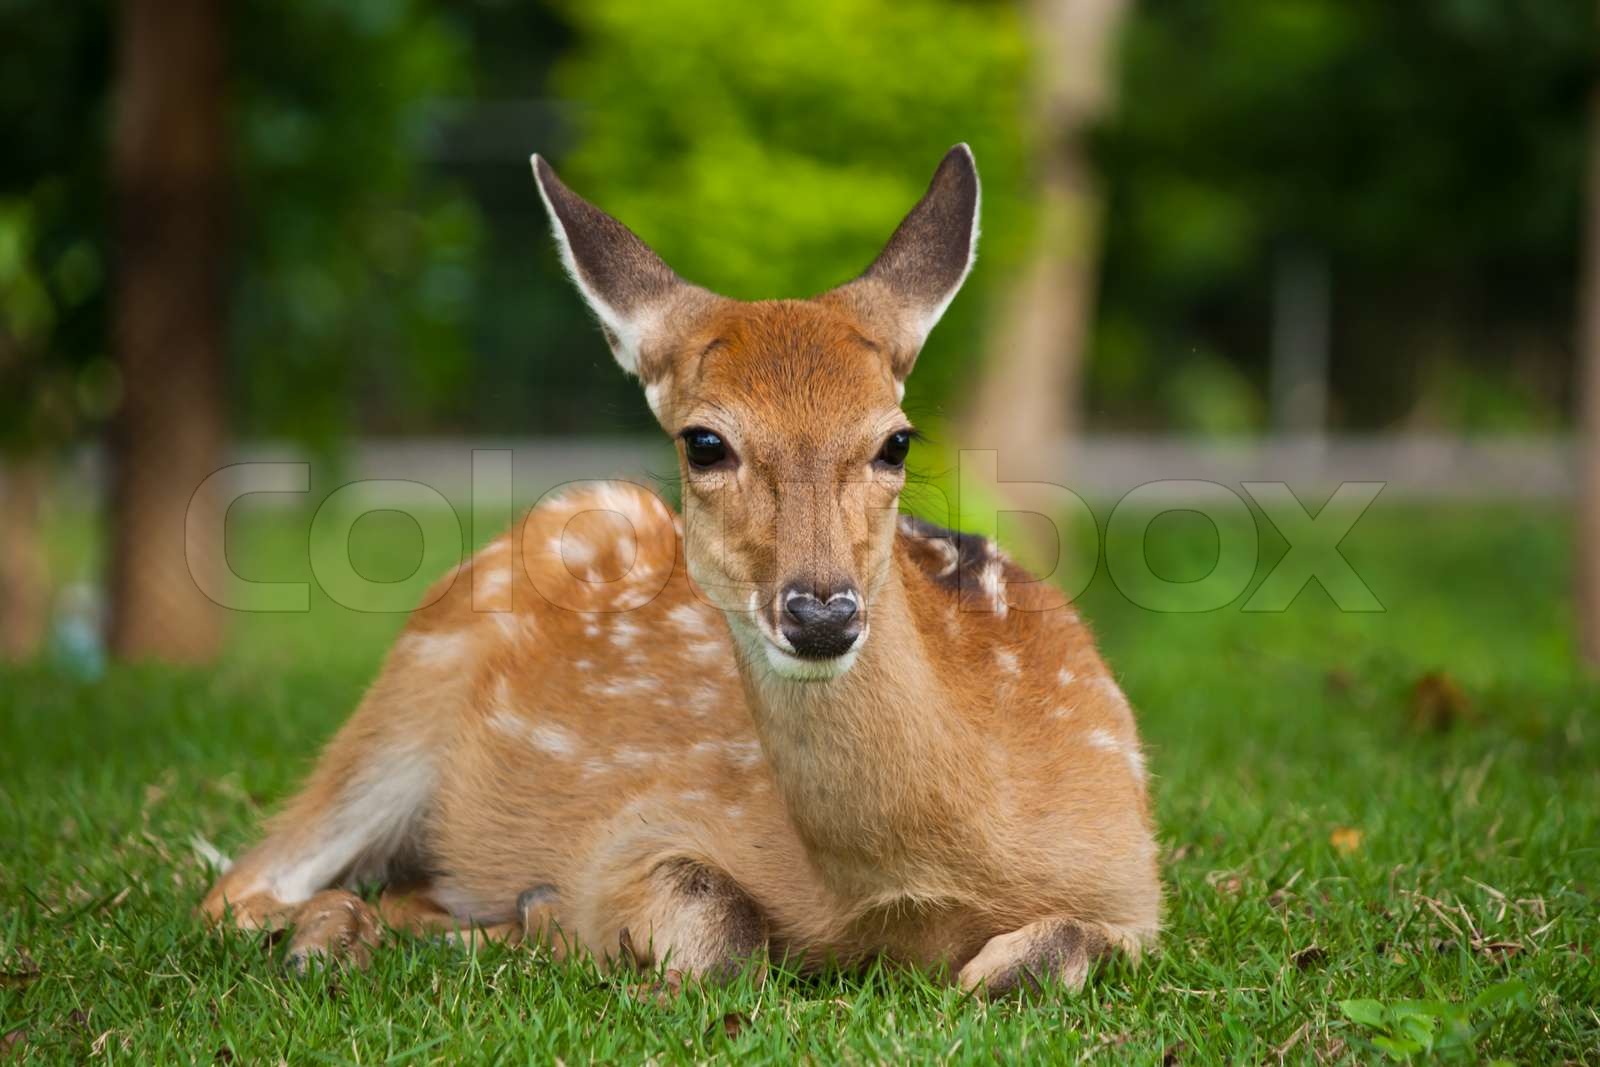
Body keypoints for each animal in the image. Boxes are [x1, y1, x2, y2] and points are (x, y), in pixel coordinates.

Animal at [201, 145, 1161, 996]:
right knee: (242, 889)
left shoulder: (1137, 881)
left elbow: (1050, 956)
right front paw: (565, 922)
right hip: (400, 708)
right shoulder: (634, 830)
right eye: (705, 441)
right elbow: (716, 926)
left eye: (896, 440)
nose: (821, 613)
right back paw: (350, 942)